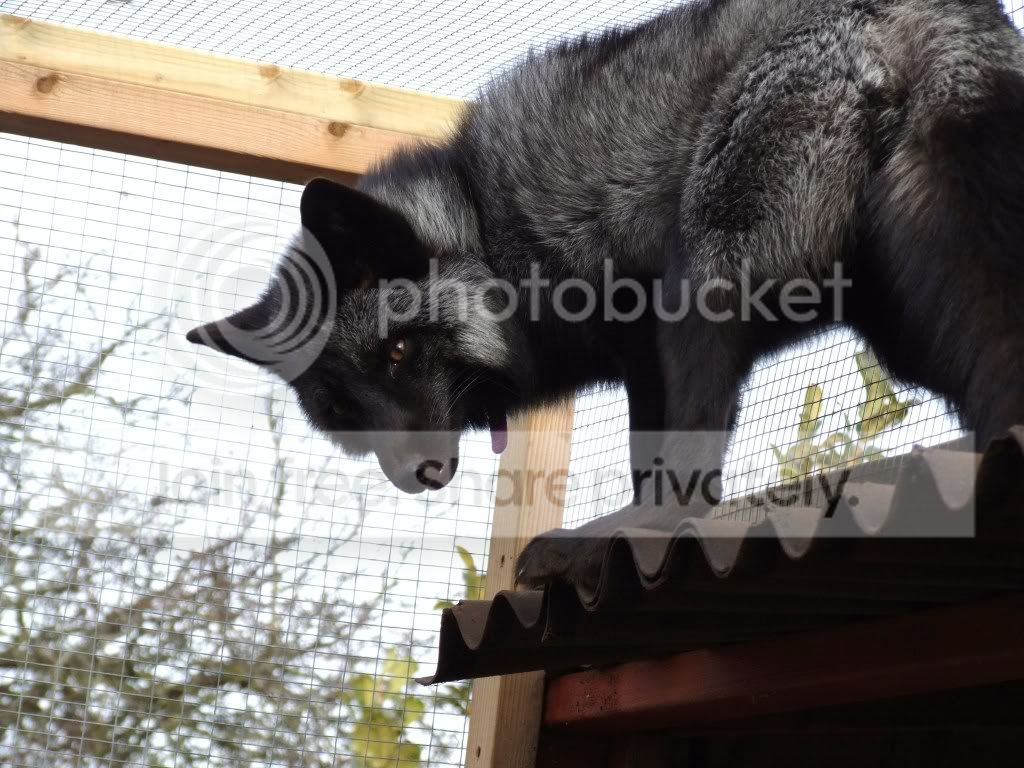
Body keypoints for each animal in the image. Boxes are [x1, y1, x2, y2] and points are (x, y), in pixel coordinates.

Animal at [188, 0, 1024, 590]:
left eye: (396, 351)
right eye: (337, 409)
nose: (415, 475)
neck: (486, 224)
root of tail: (913, 15)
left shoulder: (640, 337)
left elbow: (648, 457)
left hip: (703, 290)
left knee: (689, 491)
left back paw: (618, 534)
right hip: (915, 315)